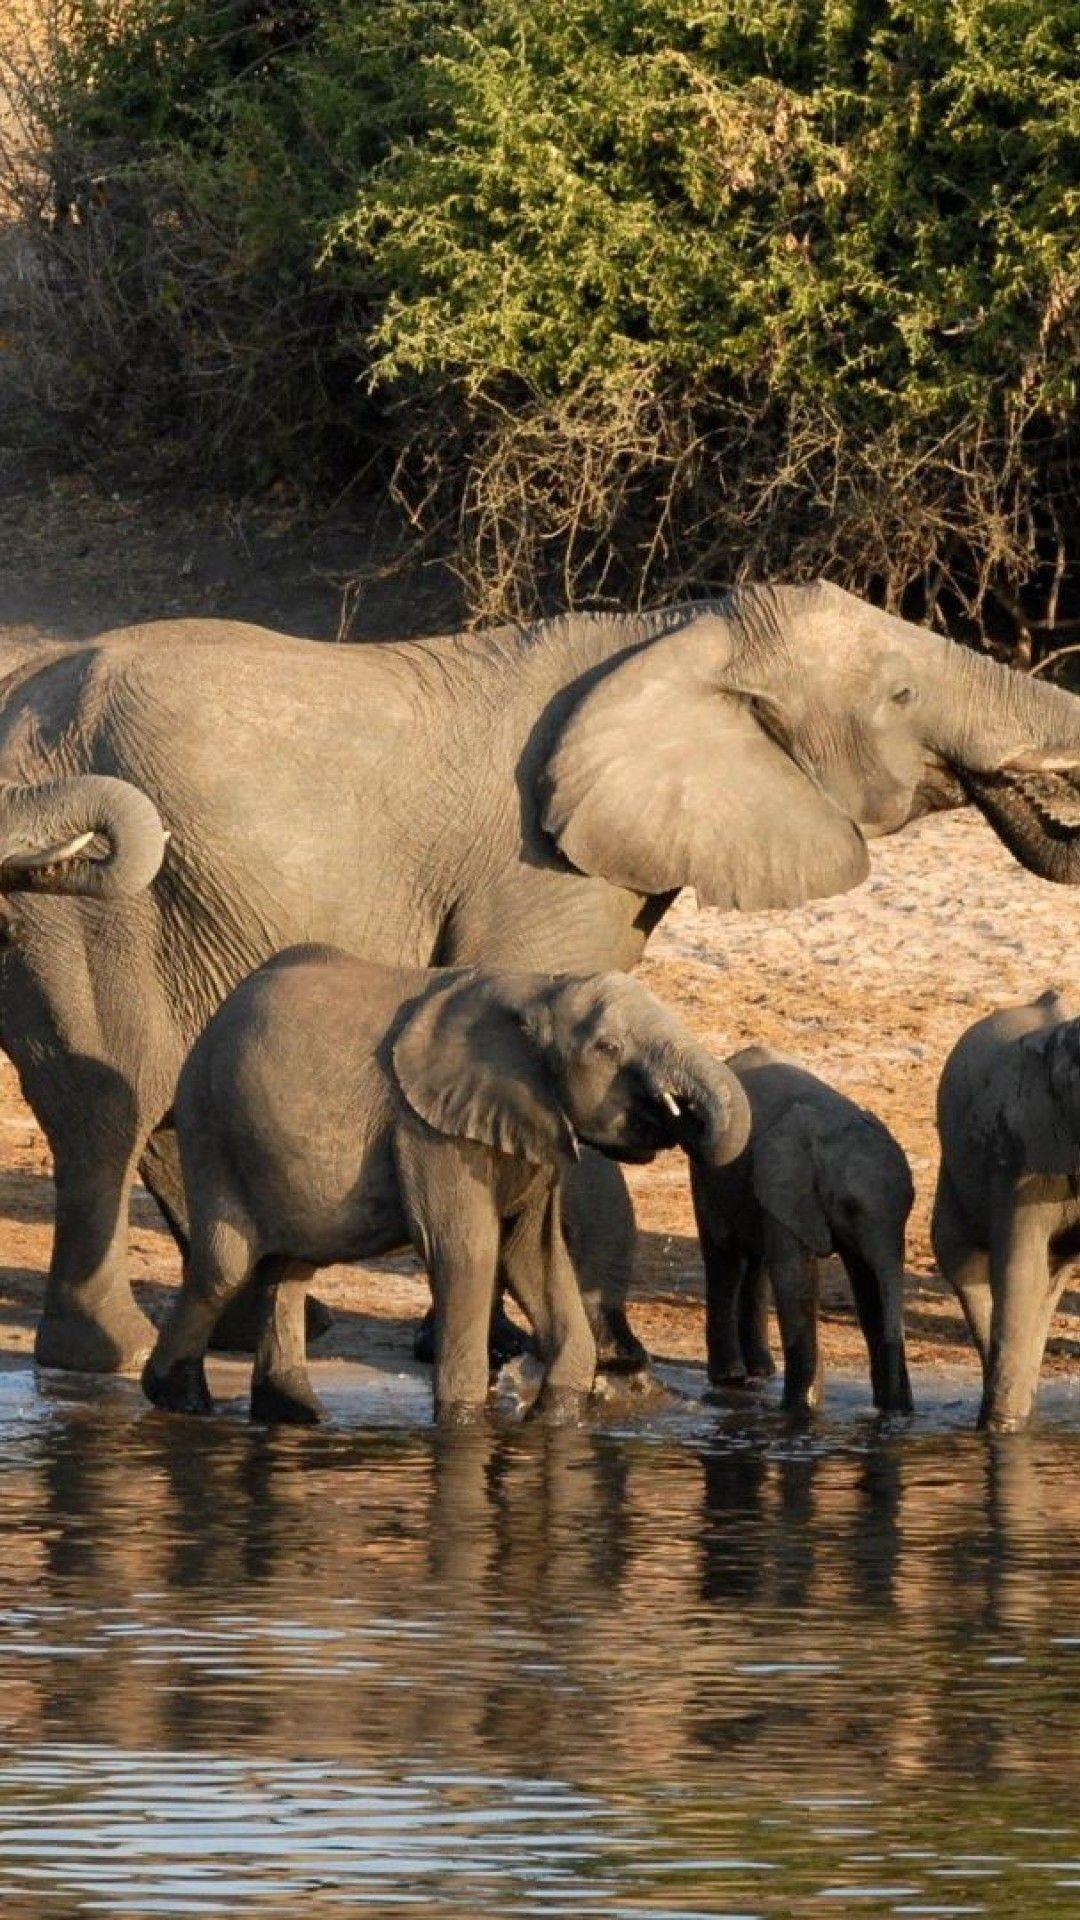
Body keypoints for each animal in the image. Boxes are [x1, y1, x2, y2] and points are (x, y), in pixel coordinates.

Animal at [4, 580, 1080, 1375]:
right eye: (901, 698)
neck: (675, 632)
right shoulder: (539, 866)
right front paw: (572, 1359)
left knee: (166, 1103)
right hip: (85, 909)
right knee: (112, 1099)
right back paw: (105, 1357)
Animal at [140, 950, 751, 1426]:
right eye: (606, 1048)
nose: (682, 1117)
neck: (540, 989)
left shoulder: (530, 1124)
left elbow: (535, 1256)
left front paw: (554, 1417)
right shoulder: (430, 1129)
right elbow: (466, 1253)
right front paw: (462, 1426)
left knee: (287, 1269)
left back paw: (297, 1415)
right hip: (210, 1123)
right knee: (225, 1267)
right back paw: (177, 1401)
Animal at [690, 1046, 915, 1415]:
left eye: (912, 1205)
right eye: (849, 1206)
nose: (897, 1414)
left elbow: (869, 1286)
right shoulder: (789, 1183)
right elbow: (796, 1279)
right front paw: (802, 1411)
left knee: (755, 1263)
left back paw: (761, 1372)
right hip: (706, 1168)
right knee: (725, 1257)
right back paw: (731, 1377)